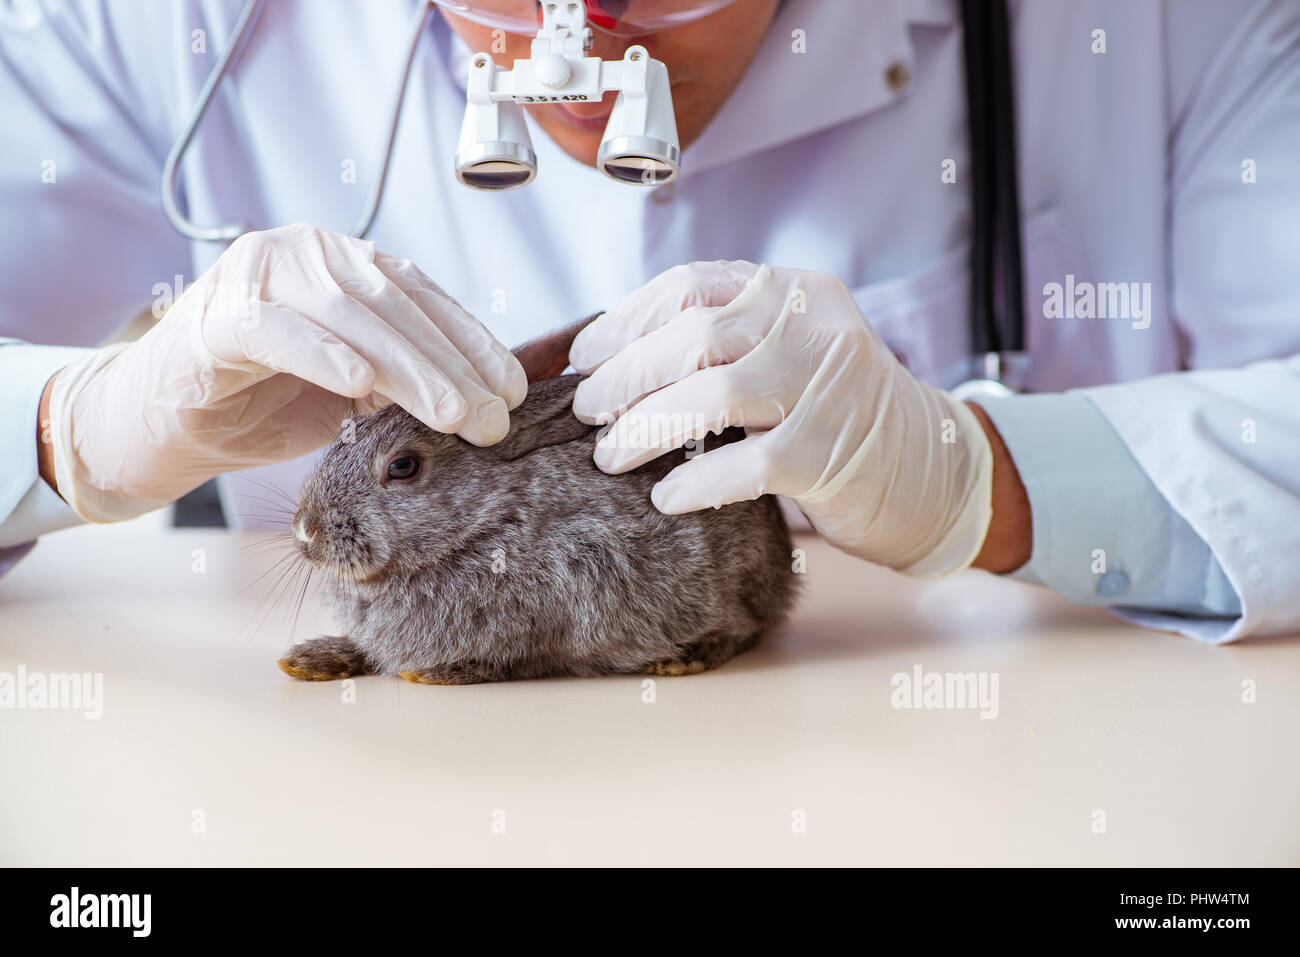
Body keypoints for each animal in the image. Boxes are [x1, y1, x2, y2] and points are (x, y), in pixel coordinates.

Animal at [278, 319, 797, 685]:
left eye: (403, 466)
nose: (306, 530)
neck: (489, 517)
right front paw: (311, 659)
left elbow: (518, 658)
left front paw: (438, 672)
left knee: (745, 626)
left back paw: (683, 660)